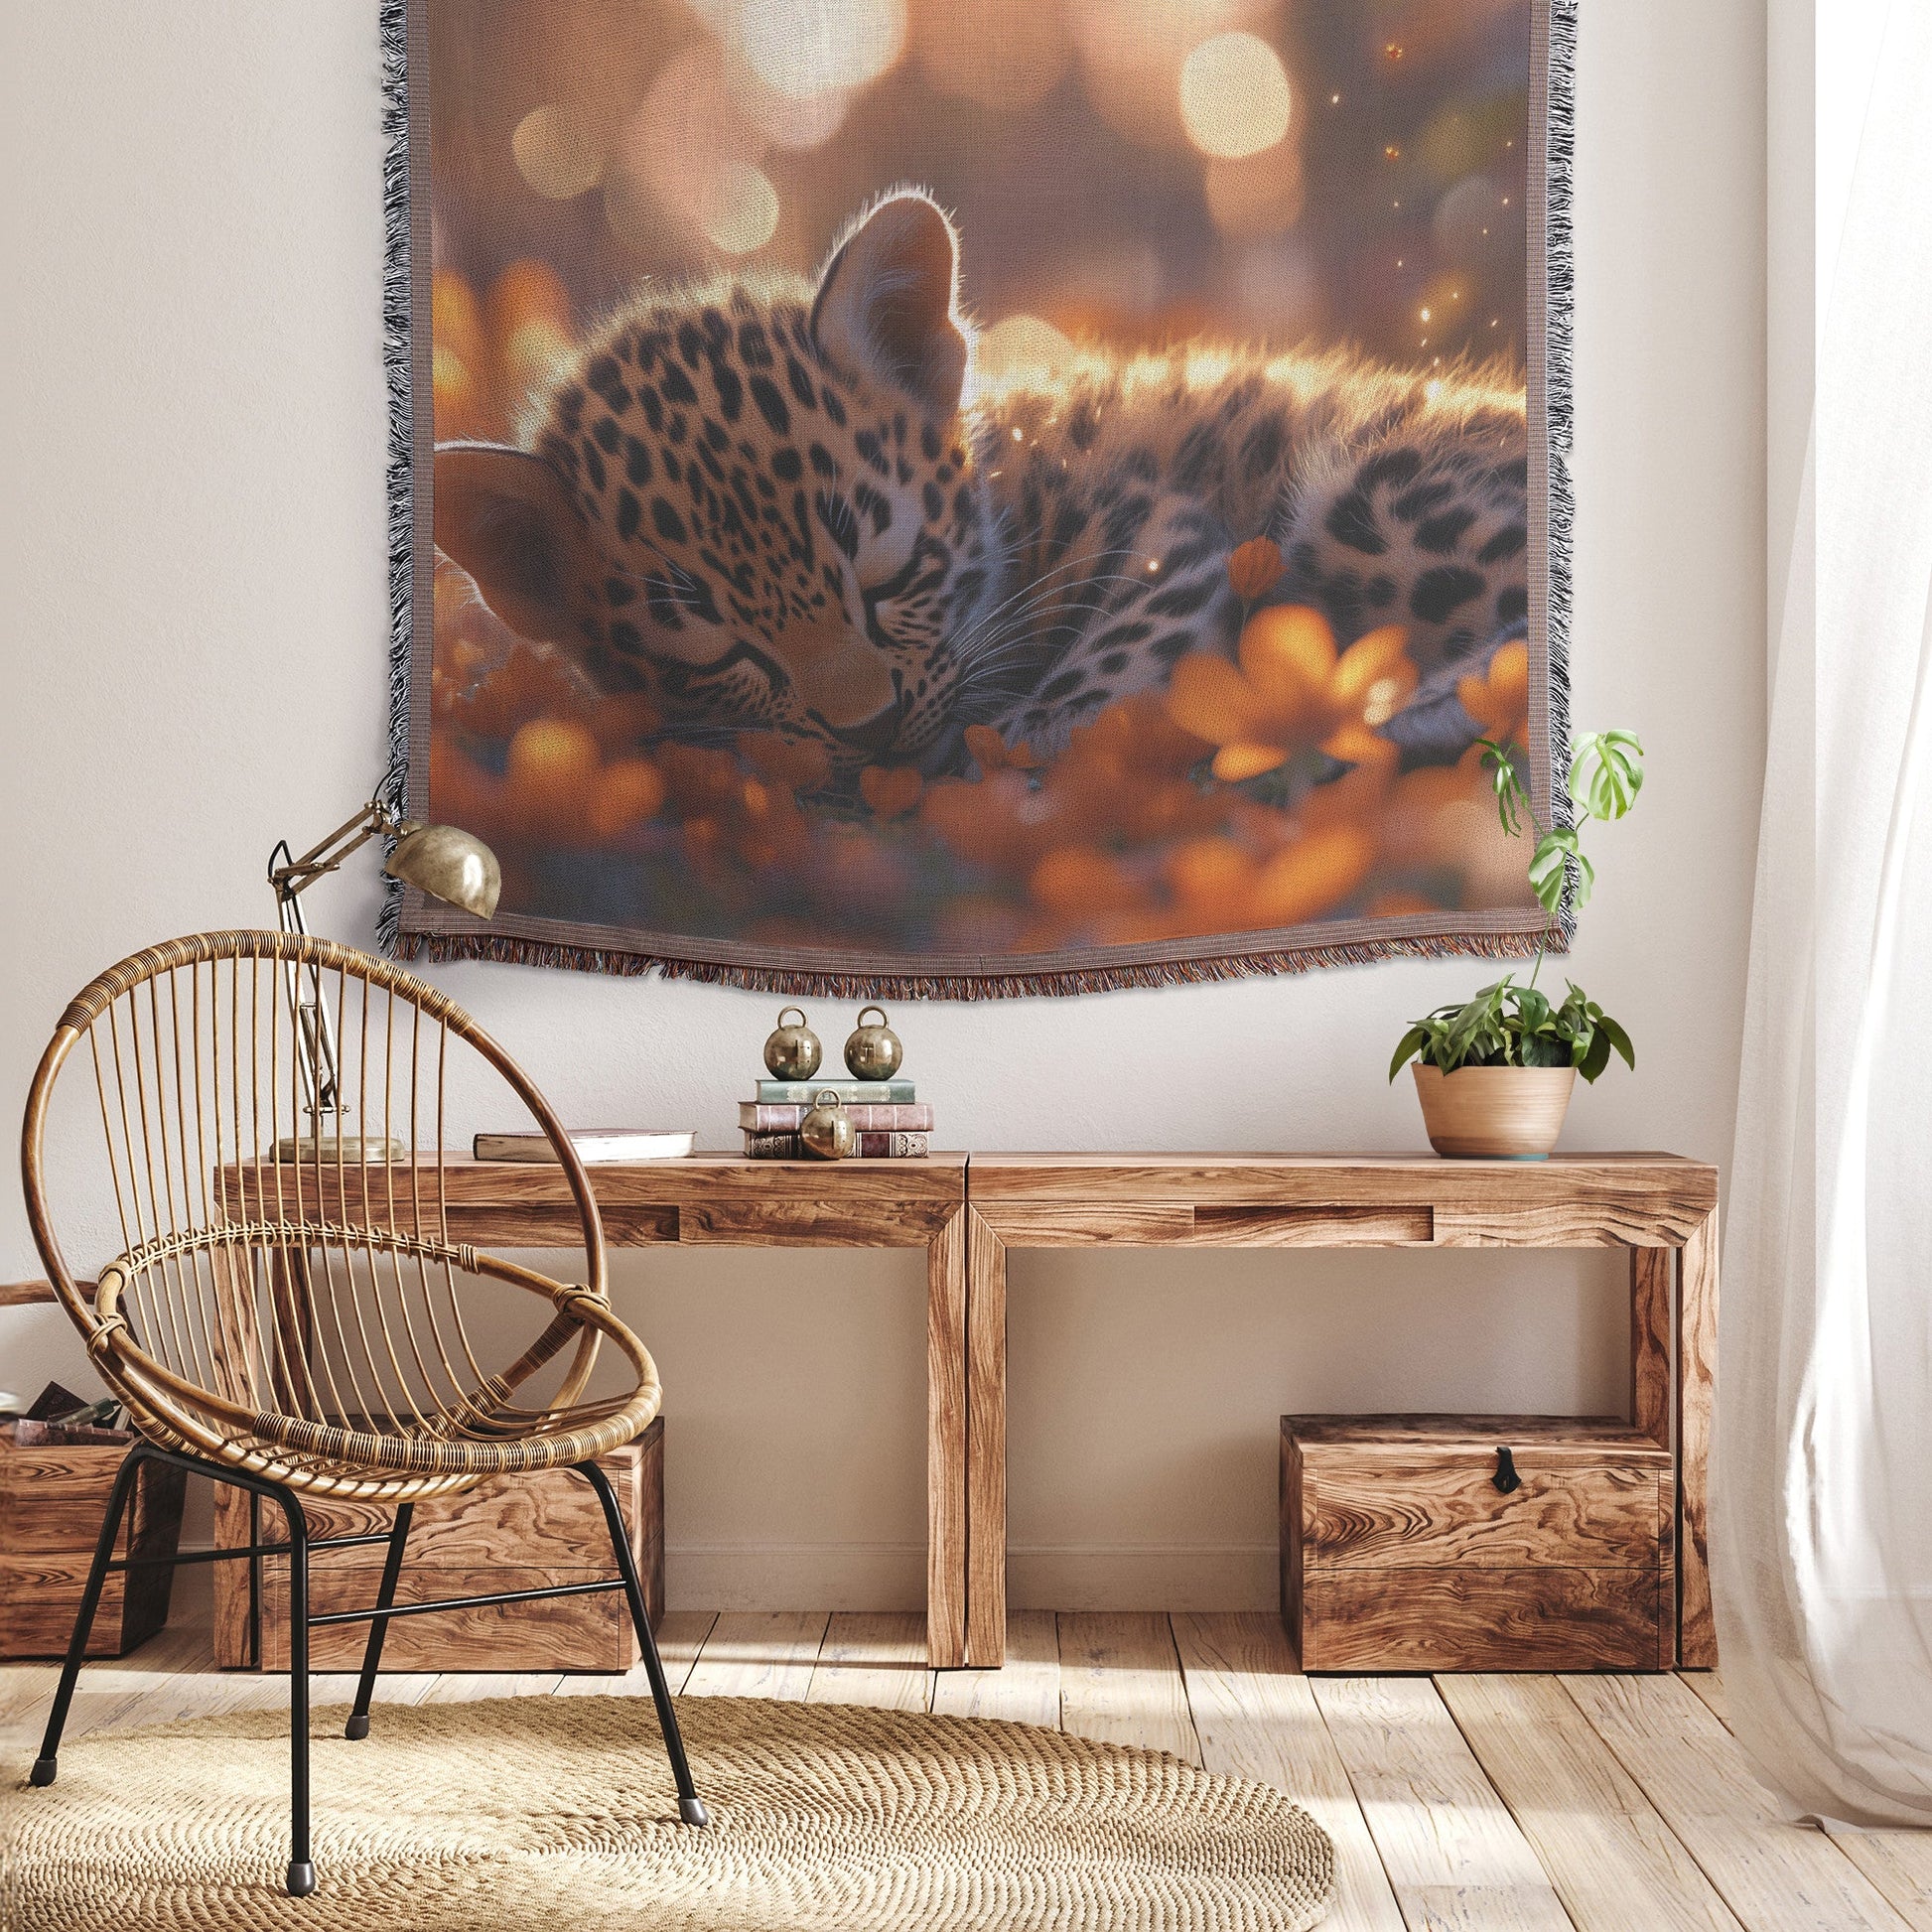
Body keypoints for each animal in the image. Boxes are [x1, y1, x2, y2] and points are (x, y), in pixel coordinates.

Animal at [434, 189, 1530, 788]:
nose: (869, 731)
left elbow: (1080, 688)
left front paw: (1005, 757)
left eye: (889, 576)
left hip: (1364, 493)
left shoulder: (1163, 539)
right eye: (718, 652)